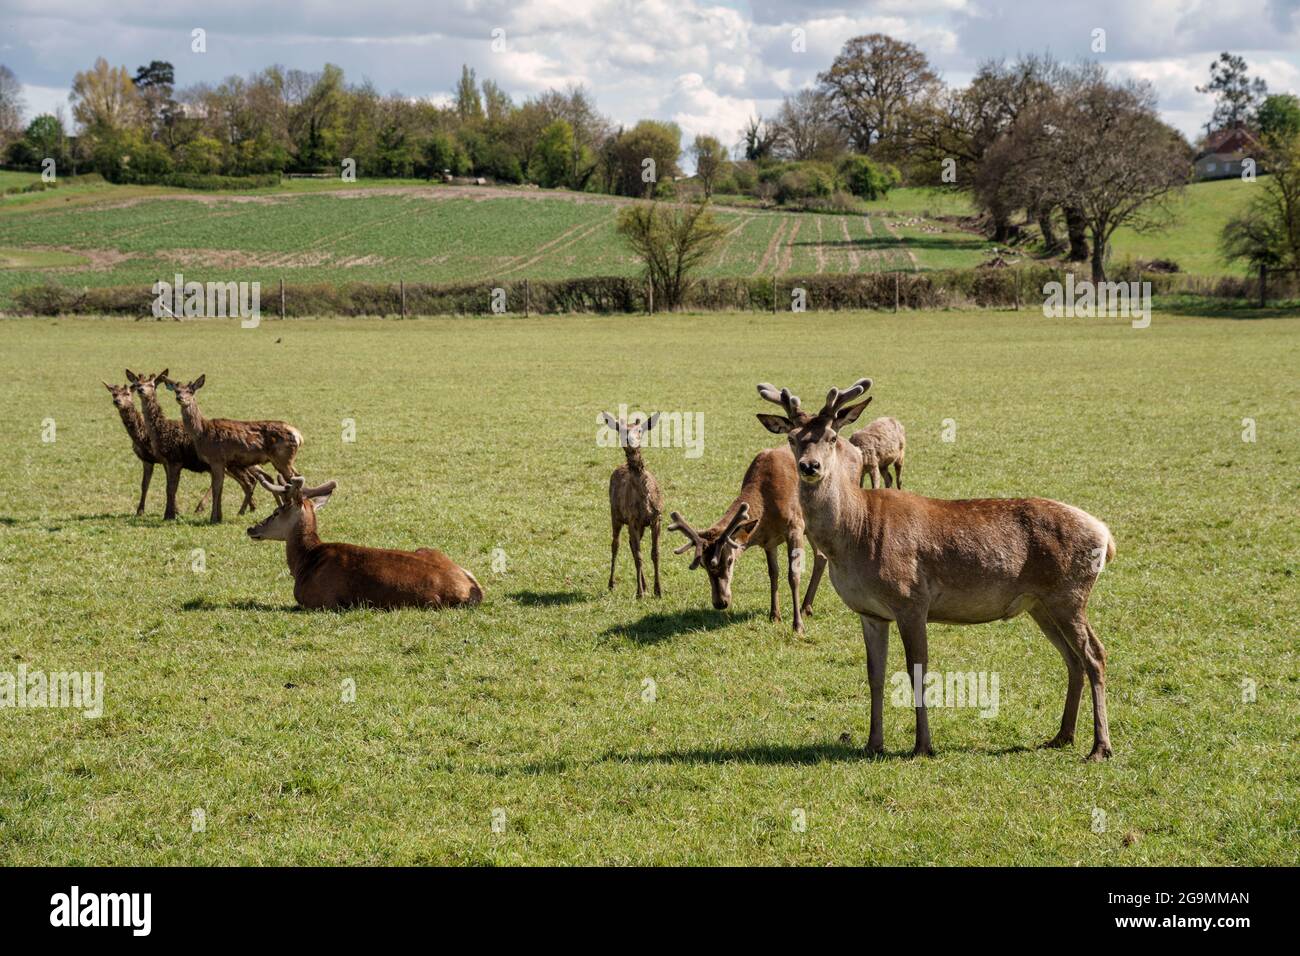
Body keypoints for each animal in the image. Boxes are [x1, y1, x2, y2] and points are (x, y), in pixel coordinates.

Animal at [126, 369, 258, 520]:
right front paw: (171, 513)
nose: (141, 390)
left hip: (233, 464)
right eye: (137, 383)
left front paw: (169, 515)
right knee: (249, 480)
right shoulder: (167, 460)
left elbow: (170, 488)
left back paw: (239, 510)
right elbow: (168, 487)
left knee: (249, 480)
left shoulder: (175, 459)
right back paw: (248, 509)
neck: (161, 431)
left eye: (152, 384)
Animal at [162, 374, 303, 524]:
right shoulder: (221, 462)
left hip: (283, 458)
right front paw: (219, 517)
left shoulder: (216, 458)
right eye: (177, 391)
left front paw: (213, 518)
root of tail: (299, 435)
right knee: (297, 476)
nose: (180, 398)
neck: (202, 433)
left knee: (294, 479)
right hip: (285, 459)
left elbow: (217, 488)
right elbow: (220, 487)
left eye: (190, 391)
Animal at [603, 411, 664, 599]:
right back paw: (611, 584)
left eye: (639, 430)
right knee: (615, 545)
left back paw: (645, 585)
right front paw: (639, 593)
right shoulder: (632, 520)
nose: (630, 440)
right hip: (615, 515)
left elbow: (655, 553)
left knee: (630, 544)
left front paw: (658, 590)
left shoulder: (657, 518)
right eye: (621, 430)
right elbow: (639, 556)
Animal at [667, 446, 835, 635]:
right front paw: (774, 615)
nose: (720, 603)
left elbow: (793, 575)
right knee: (821, 556)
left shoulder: (795, 525)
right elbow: (773, 573)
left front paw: (797, 626)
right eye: (702, 564)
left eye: (730, 560)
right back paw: (806, 607)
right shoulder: (769, 541)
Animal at [755, 378, 1116, 761]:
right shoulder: (870, 612)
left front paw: (923, 745)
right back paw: (1062, 736)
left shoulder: (911, 599)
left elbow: (917, 671)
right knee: (1073, 659)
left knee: (1095, 655)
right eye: (792, 438)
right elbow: (875, 674)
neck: (856, 533)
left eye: (832, 436)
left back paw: (1100, 747)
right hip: (1041, 604)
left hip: (1069, 595)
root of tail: (1106, 536)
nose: (810, 467)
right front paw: (873, 743)